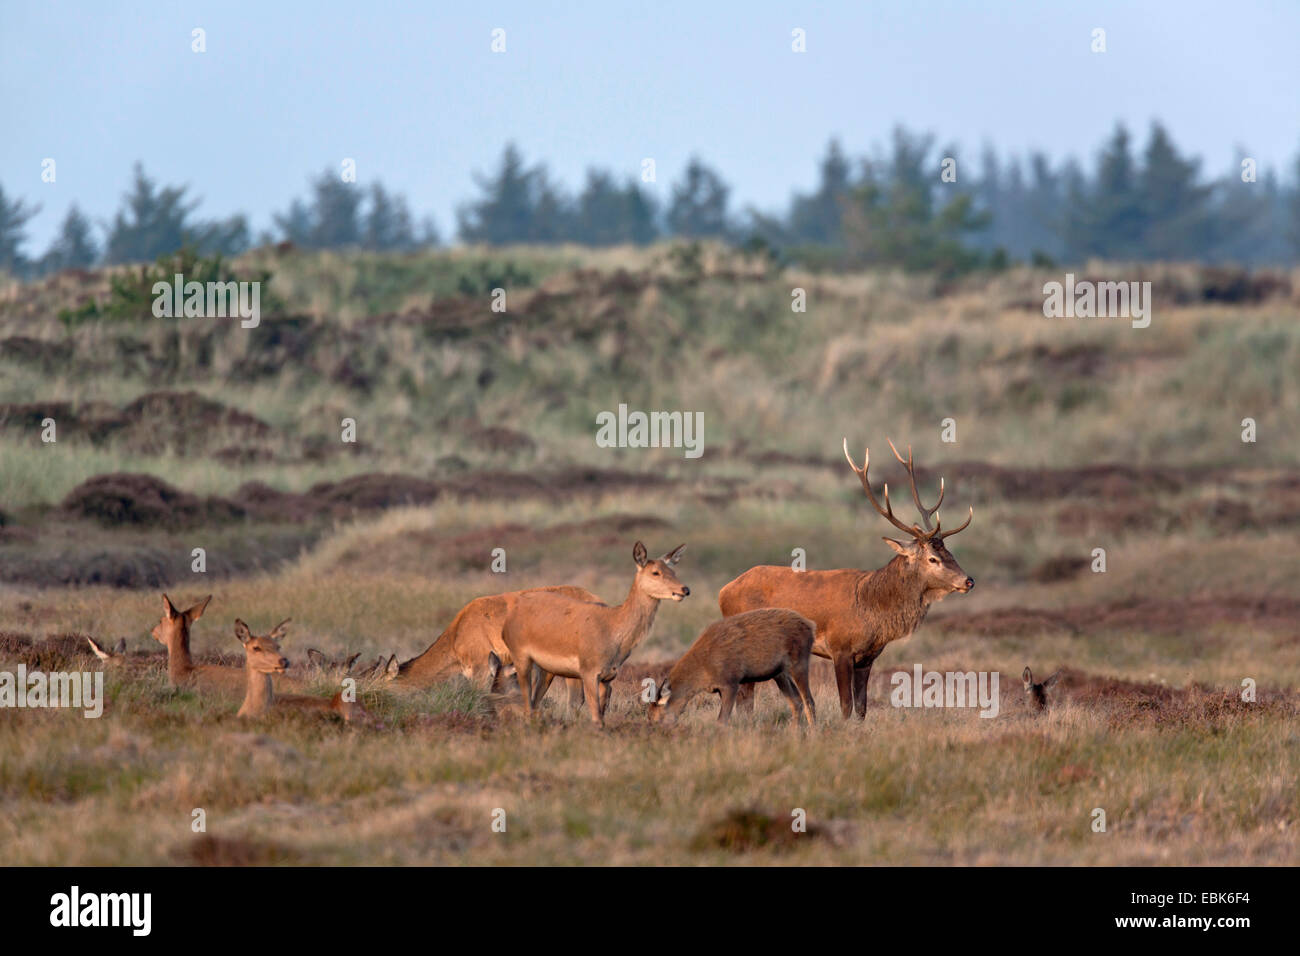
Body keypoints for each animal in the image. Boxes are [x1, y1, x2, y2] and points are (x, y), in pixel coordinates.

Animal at [501, 541, 689, 727]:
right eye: (655, 572)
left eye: (673, 570)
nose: (685, 589)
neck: (612, 631)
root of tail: (507, 621)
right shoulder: (588, 670)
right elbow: (596, 718)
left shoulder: (608, 676)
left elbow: (601, 716)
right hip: (520, 656)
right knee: (527, 700)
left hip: (545, 669)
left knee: (534, 700)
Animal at [649, 608, 816, 727]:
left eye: (658, 716)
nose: (656, 731)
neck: (703, 672)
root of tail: (810, 626)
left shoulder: (730, 682)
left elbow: (722, 721)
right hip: (779, 673)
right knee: (796, 702)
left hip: (799, 661)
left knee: (809, 701)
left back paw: (813, 733)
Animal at [720, 438, 974, 720]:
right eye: (932, 559)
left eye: (950, 553)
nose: (968, 581)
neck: (871, 610)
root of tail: (723, 591)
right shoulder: (839, 648)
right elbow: (846, 705)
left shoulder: (867, 658)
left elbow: (862, 708)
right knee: (745, 696)